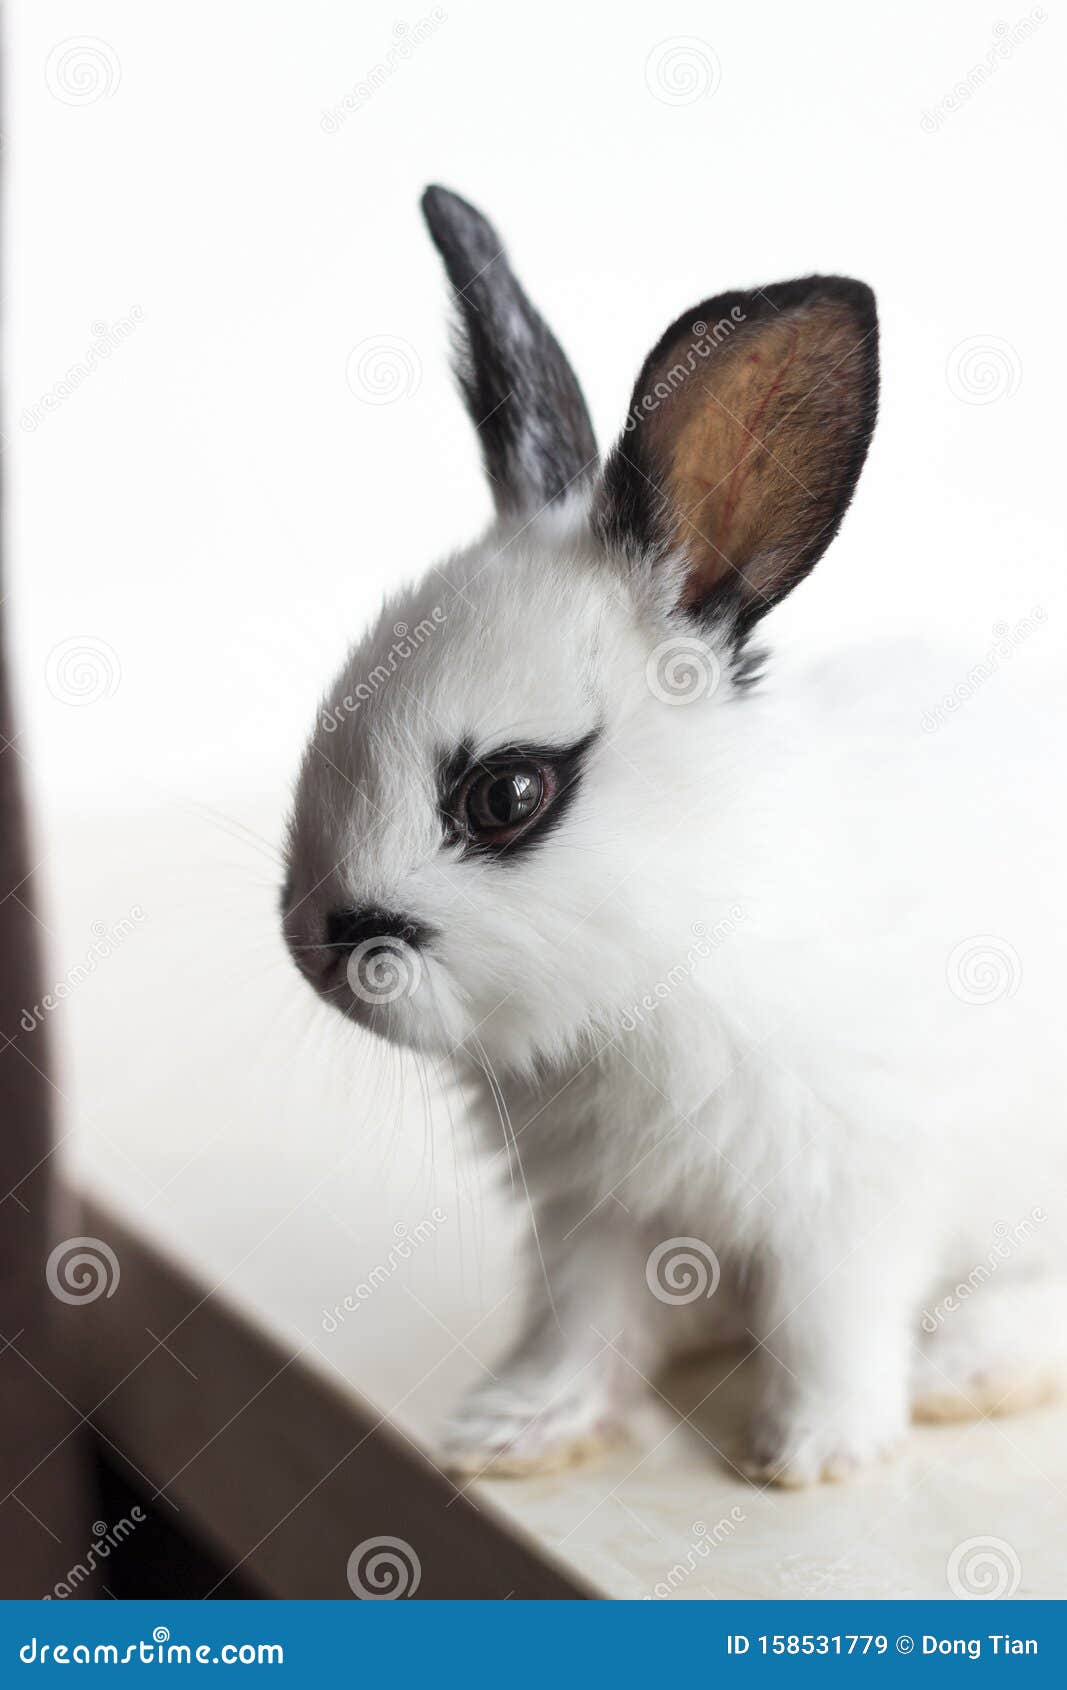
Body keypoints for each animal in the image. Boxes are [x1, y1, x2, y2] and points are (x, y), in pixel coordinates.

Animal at [282, 185, 1067, 1486]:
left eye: (506, 794)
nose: (317, 952)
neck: (680, 945)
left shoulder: (851, 1197)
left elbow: (830, 1321)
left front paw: (808, 1455)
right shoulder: (593, 1211)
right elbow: (579, 1321)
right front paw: (513, 1433)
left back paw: (959, 1370)